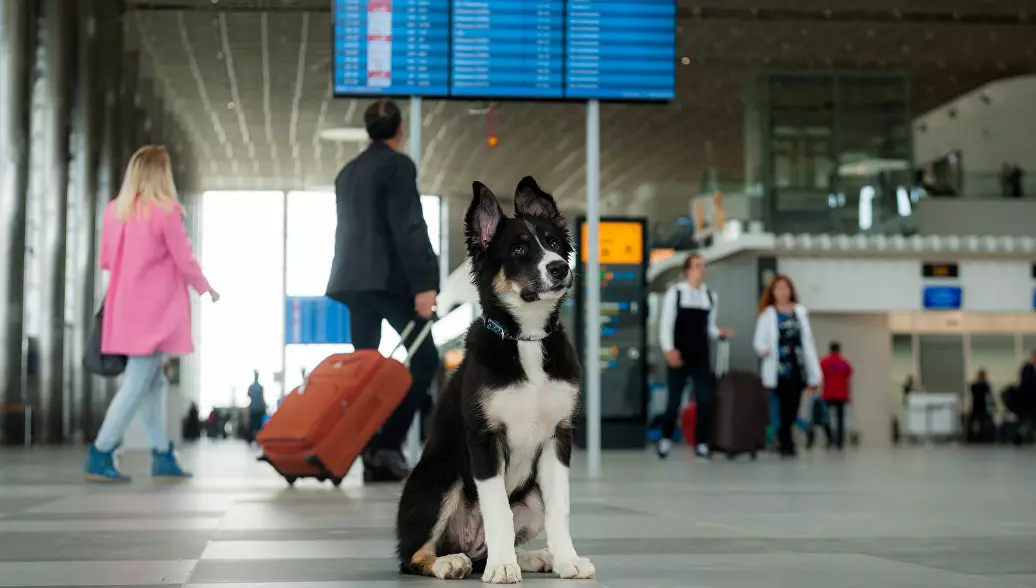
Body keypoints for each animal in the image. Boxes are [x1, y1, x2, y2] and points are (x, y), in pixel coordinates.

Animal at [393, 175, 596, 583]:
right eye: (519, 250)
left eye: (553, 244)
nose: (558, 269)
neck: (526, 340)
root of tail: (467, 545)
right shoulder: (484, 438)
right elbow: (498, 509)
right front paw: (503, 567)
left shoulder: (558, 437)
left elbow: (560, 508)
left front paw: (567, 560)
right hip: (442, 477)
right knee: (413, 555)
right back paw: (451, 562)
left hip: (531, 495)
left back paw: (534, 557)